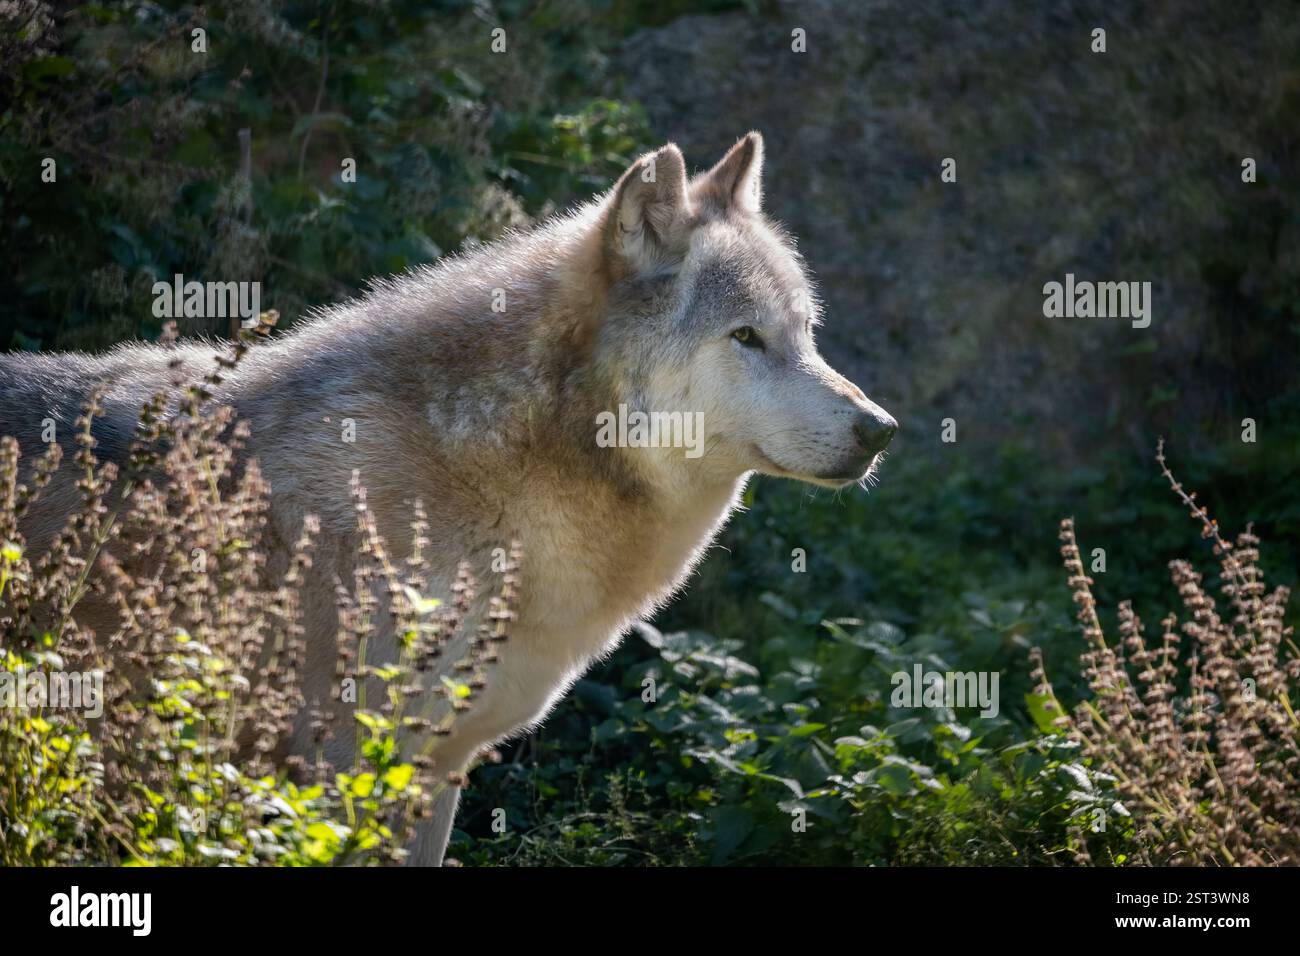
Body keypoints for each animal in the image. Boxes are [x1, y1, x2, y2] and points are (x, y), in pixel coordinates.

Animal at [0, 132, 896, 865]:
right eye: (746, 337)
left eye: (807, 334)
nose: (881, 429)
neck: (488, 474)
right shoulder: (332, 767)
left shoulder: (437, 769)